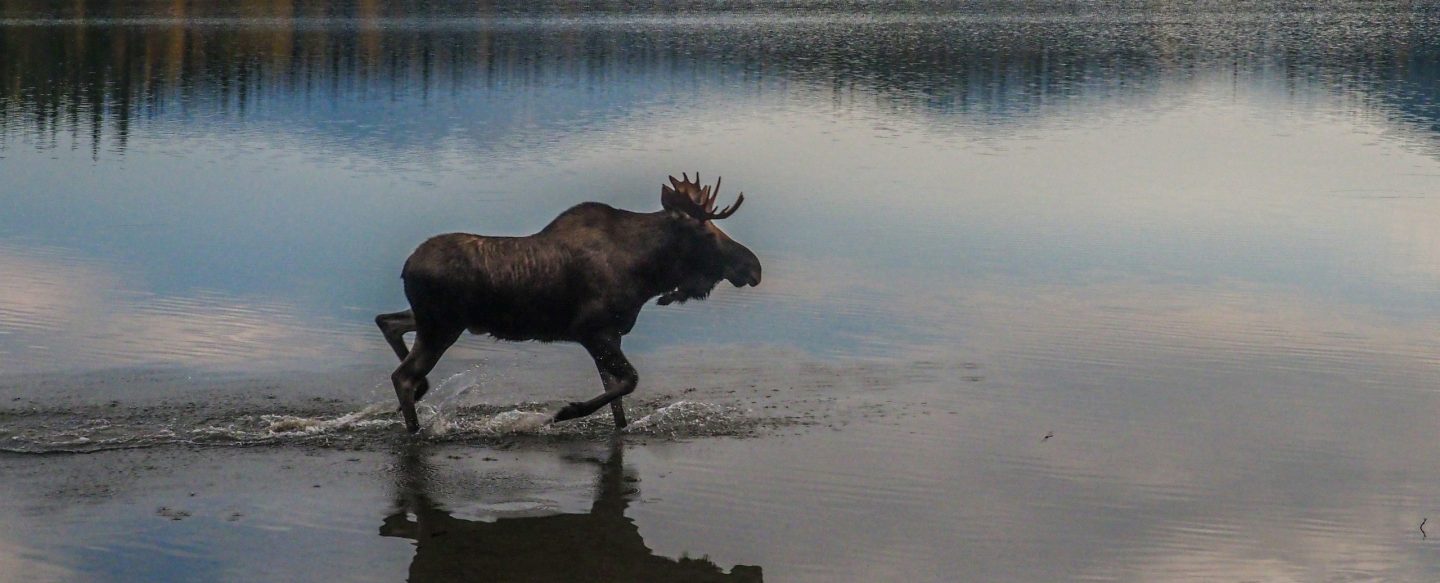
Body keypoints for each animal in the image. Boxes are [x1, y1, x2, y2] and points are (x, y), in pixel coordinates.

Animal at [375, 173, 762, 433]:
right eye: (706, 232)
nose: (753, 267)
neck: (646, 274)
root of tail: (406, 267)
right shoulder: (592, 331)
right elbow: (630, 381)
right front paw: (566, 412)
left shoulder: (611, 335)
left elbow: (618, 400)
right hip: (441, 326)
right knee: (402, 376)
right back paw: (415, 427)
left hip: (435, 321)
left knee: (387, 322)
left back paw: (422, 393)